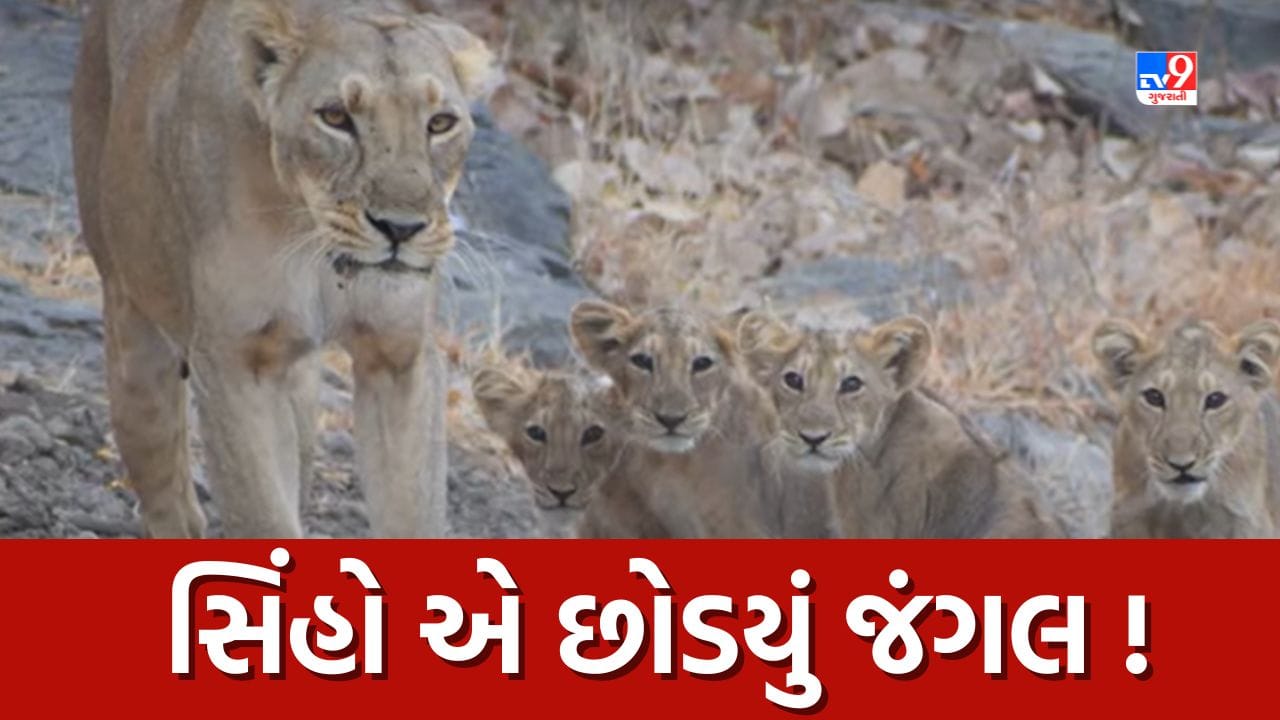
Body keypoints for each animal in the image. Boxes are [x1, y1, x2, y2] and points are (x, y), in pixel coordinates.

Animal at [71, 0, 492, 537]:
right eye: (335, 116)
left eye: (440, 123)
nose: (401, 228)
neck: (316, 245)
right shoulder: (234, 358)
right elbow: (262, 516)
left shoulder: (399, 356)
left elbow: (413, 513)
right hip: (135, 345)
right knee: (169, 497)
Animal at [1092, 318, 1280, 538]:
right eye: (1154, 397)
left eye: (1215, 399)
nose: (1181, 465)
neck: (1184, 509)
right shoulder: (1129, 515)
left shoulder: (1247, 522)